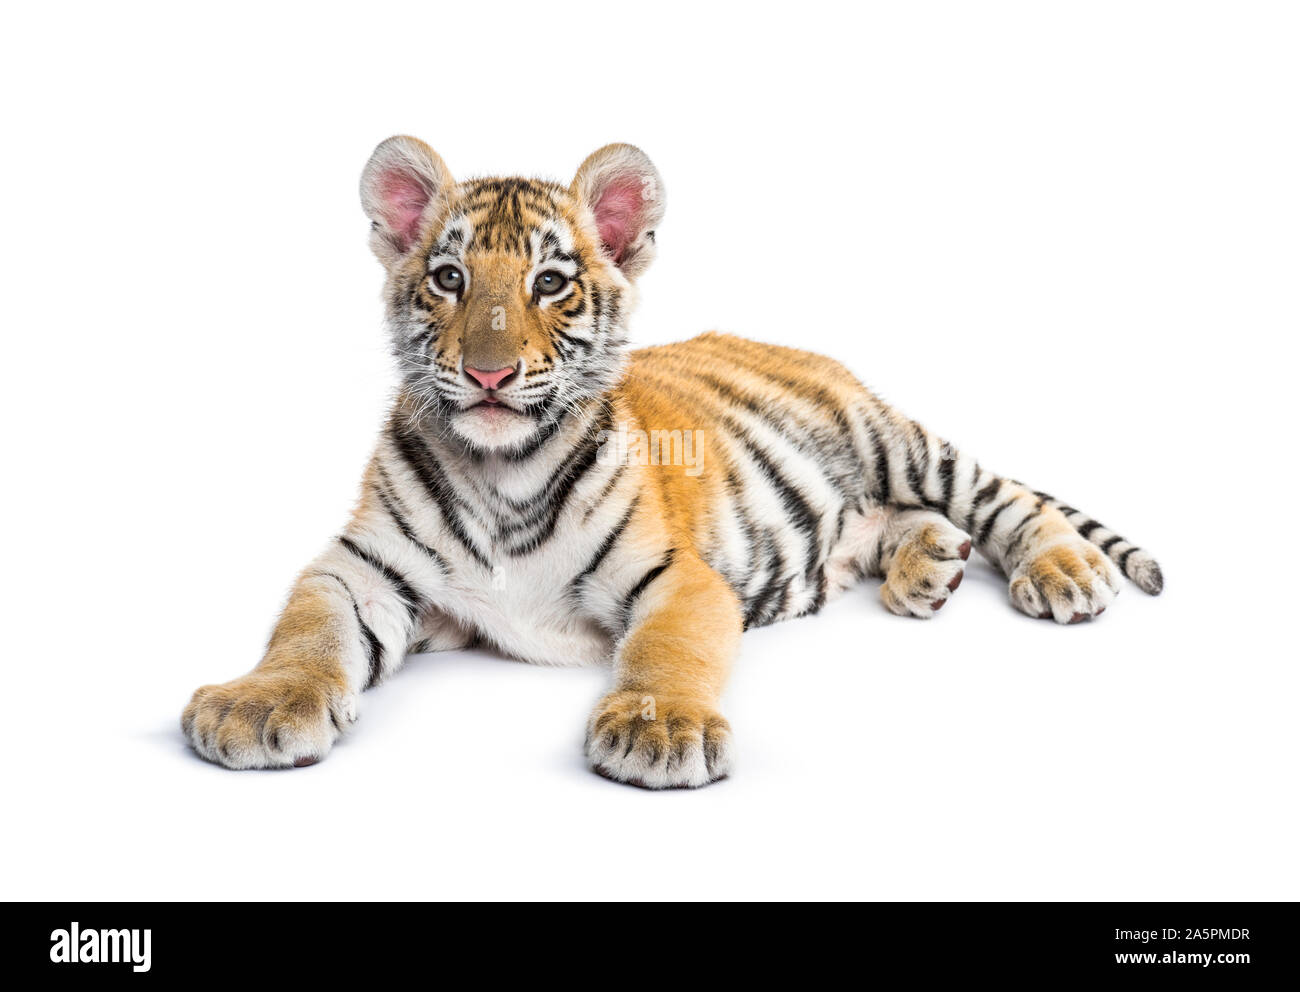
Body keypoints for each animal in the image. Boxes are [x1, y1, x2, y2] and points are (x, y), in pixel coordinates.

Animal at [181, 136, 1163, 788]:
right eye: (450, 279)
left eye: (550, 283)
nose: (490, 373)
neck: (503, 477)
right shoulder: (361, 567)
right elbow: (305, 631)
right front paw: (255, 704)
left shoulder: (676, 576)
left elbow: (667, 649)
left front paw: (661, 730)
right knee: (891, 523)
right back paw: (929, 568)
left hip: (896, 441)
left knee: (1004, 499)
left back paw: (1063, 571)